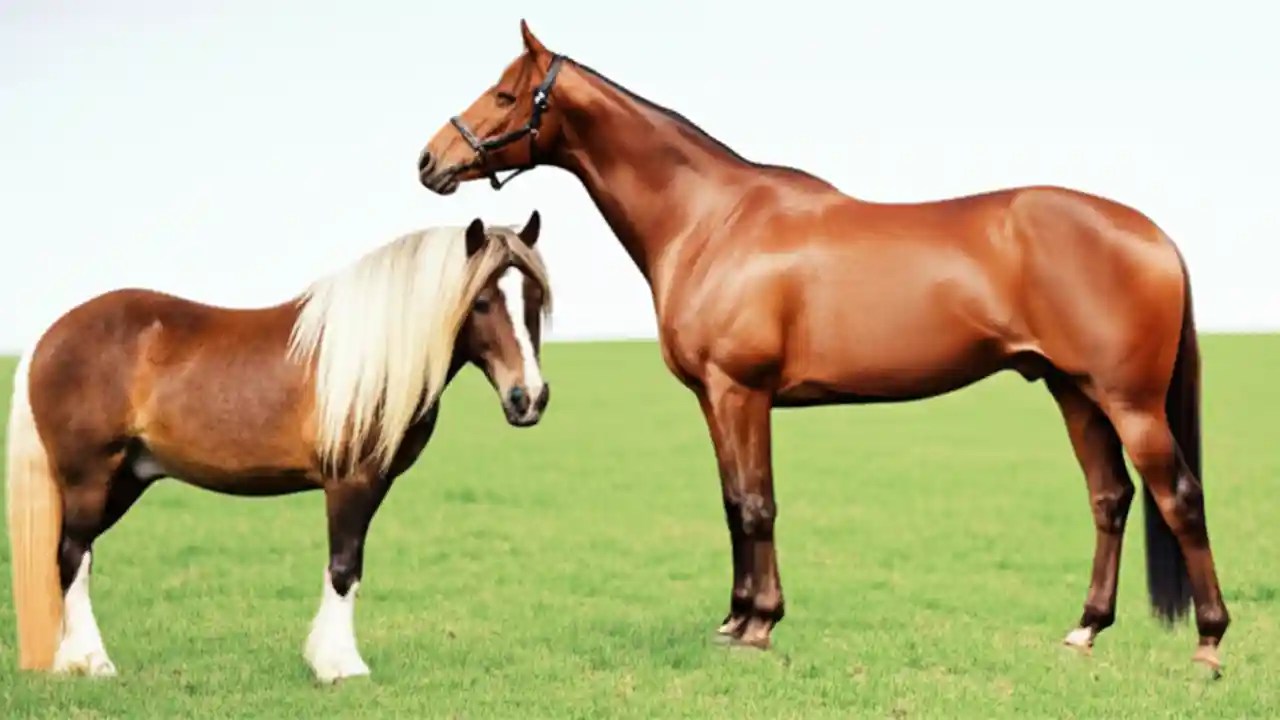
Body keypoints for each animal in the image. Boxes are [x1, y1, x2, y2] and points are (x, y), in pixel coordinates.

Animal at [6, 213, 553, 683]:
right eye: (480, 301)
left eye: (532, 296)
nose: (528, 398)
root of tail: (48, 337)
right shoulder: (351, 483)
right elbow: (343, 568)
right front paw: (340, 665)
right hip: (90, 478)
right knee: (74, 556)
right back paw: (92, 661)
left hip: (125, 481)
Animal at [414, 20, 1229, 673]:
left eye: (504, 96)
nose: (429, 161)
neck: (711, 220)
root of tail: (1153, 235)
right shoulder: (715, 400)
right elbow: (731, 502)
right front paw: (735, 617)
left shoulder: (741, 390)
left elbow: (757, 505)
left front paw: (759, 626)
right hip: (1074, 392)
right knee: (1111, 497)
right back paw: (1085, 629)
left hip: (1129, 403)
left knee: (1180, 497)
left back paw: (1209, 643)